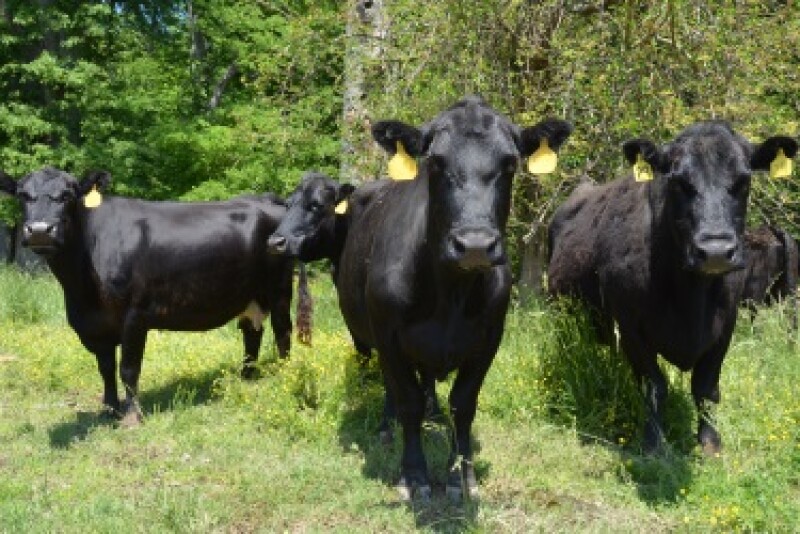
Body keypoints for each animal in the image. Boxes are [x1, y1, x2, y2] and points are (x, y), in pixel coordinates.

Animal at [0, 167, 310, 425]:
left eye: (67, 195)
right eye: (23, 195)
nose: (40, 231)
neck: (81, 292)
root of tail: (268, 199)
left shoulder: (135, 316)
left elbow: (128, 368)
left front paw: (131, 417)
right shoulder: (94, 325)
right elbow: (105, 368)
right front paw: (109, 409)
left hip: (279, 289)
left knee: (282, 331)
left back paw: (284, 375)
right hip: (249, 294)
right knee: (252, 331)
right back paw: (245, 377)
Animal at [309, 96, 571, 500]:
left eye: (510, 164)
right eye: (435, 163)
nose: (475, 244)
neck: (450, 295)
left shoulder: (488, 339)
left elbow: (463, 405)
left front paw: (460, 476)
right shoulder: (389, 338)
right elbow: (408, 401)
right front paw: (414, 475)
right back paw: (386, 430)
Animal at [547, 121, 798, 454]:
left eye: (743, 180)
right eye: (678, 182)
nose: (715, 251)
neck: (691, 298)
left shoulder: (726, 325)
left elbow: (706, 387)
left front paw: (710, 443)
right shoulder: (632, 327)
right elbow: (654, 386)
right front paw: (654, 444)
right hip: (565, 316)